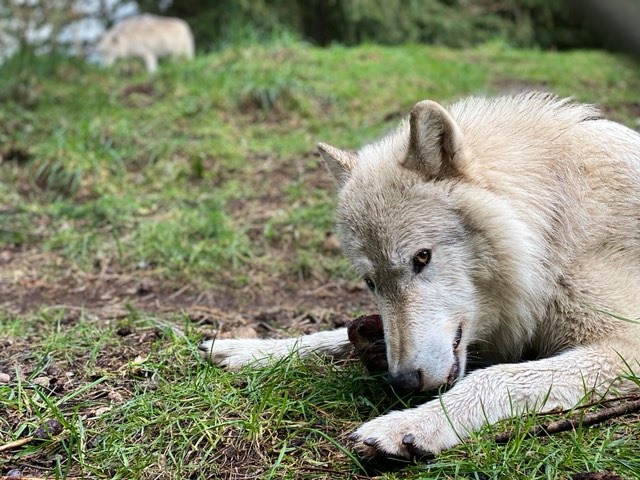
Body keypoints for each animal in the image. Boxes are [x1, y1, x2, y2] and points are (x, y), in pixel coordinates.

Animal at [200, 93, 640, 459]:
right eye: (370, 283)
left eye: (422, 258)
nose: (403, 382)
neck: (554, 226)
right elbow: (335, 334)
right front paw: (247, 349)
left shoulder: (624, 346)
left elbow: (498, 377)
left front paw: (409, 424)